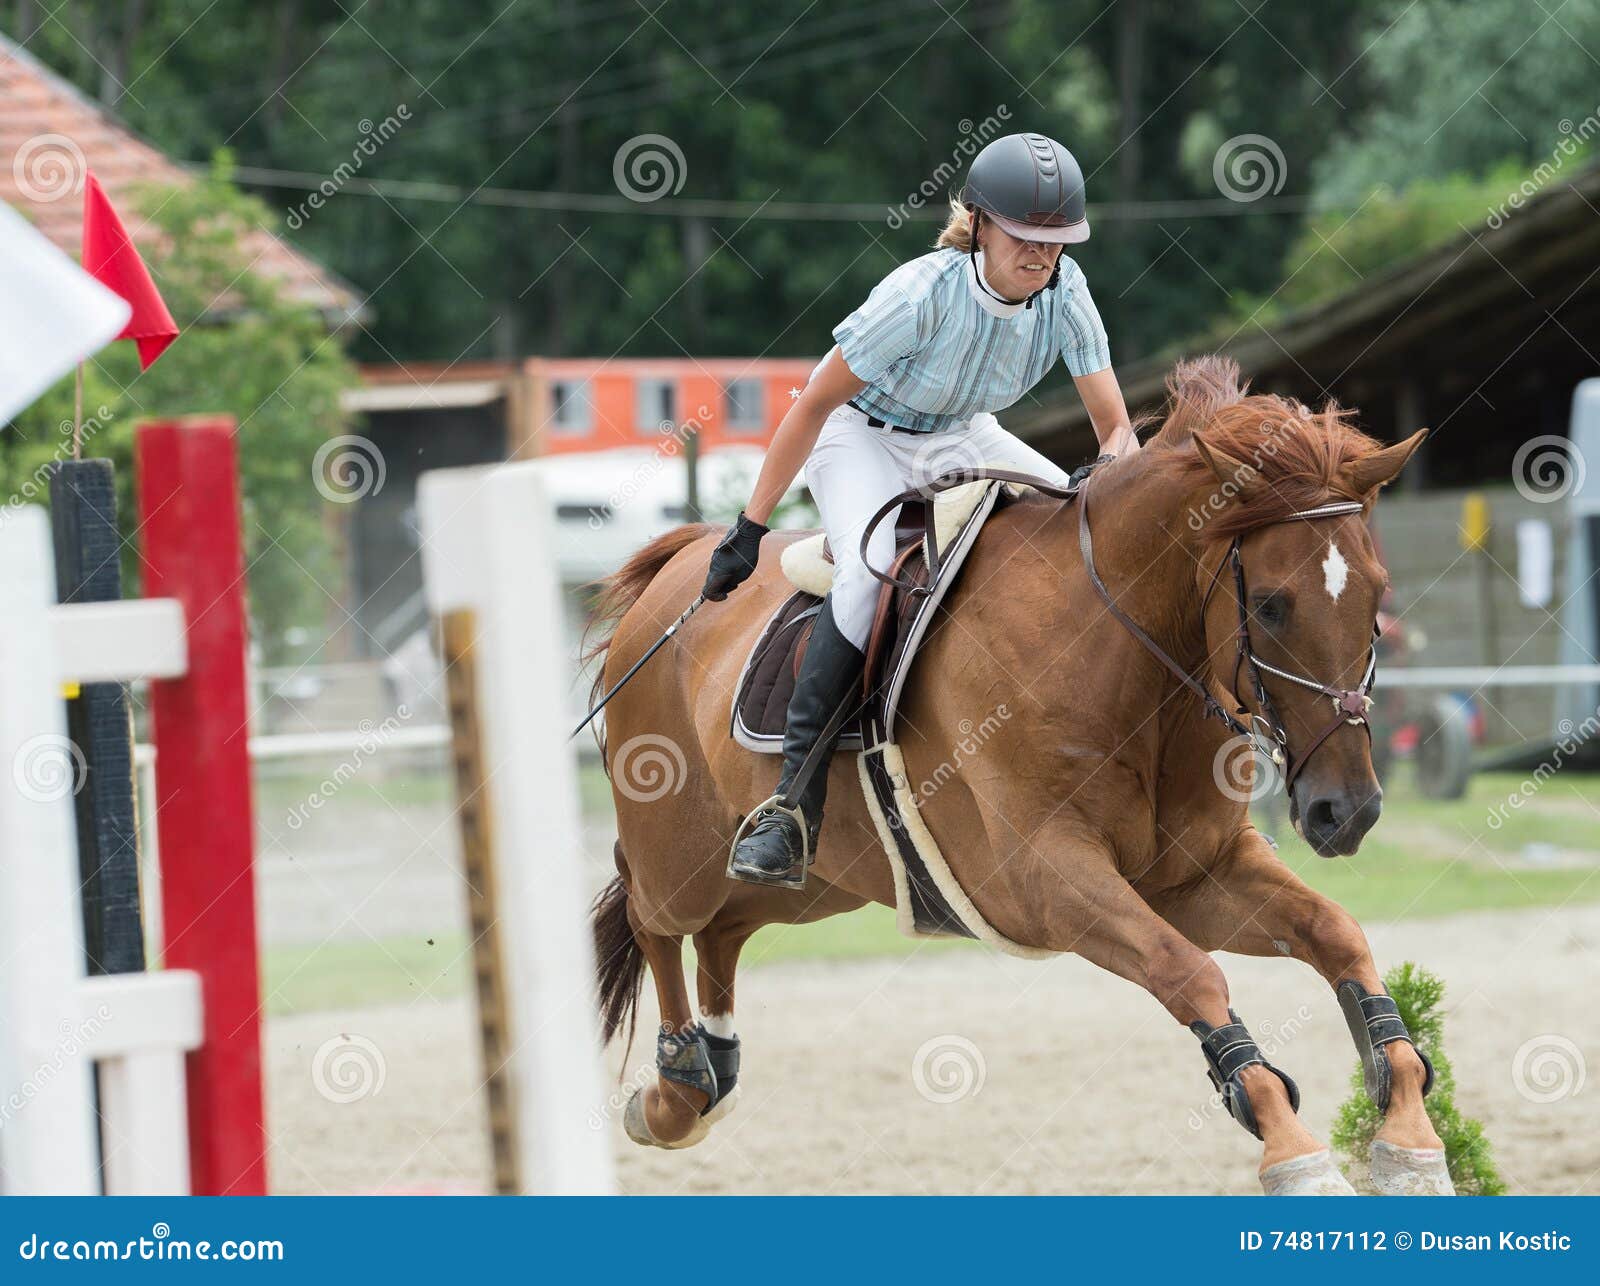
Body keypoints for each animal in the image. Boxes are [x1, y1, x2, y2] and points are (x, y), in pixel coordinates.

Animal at [585, 355, 1448, 1195]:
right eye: (1269, 606)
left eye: (1377, 599)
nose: (1348, 811)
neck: (1133, 655)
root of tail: (679, 570)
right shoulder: (1047, 879)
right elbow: (1191, 973)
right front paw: (1294, 1152)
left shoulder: (1192, 877)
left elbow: (1335, 933)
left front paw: (1408, 1137)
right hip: (682, 853)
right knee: (654, 917)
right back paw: (676, 1092)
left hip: (822, 883)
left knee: (725, 929)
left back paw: (712, 1069)